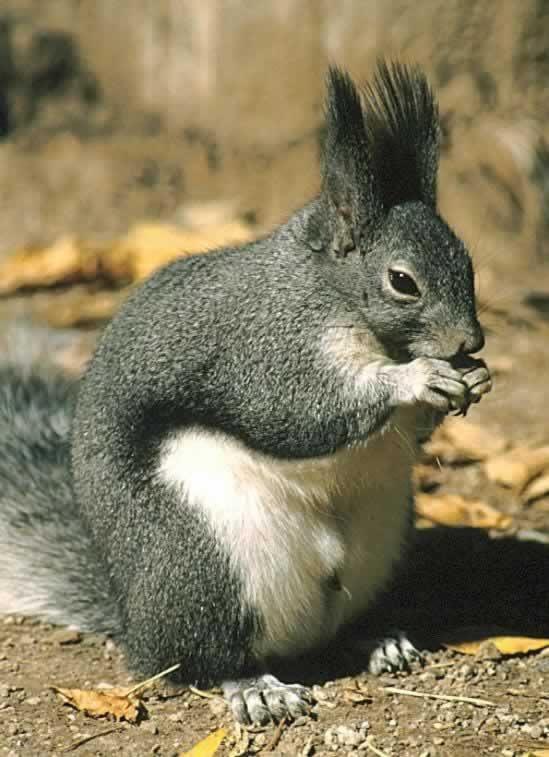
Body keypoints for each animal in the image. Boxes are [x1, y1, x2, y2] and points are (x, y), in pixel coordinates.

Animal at [0, 61, 491, 725]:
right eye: (402, 282)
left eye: (468, 262)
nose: (472, 339)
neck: (330, 293)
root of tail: (133, 619)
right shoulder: (258, 346)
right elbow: (296, 409)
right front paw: (416, 379)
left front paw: (474, 378)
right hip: (204, 566)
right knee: (198, 661)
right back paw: (256, 685)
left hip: (383, 544)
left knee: (339, 625)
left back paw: (380, 639)